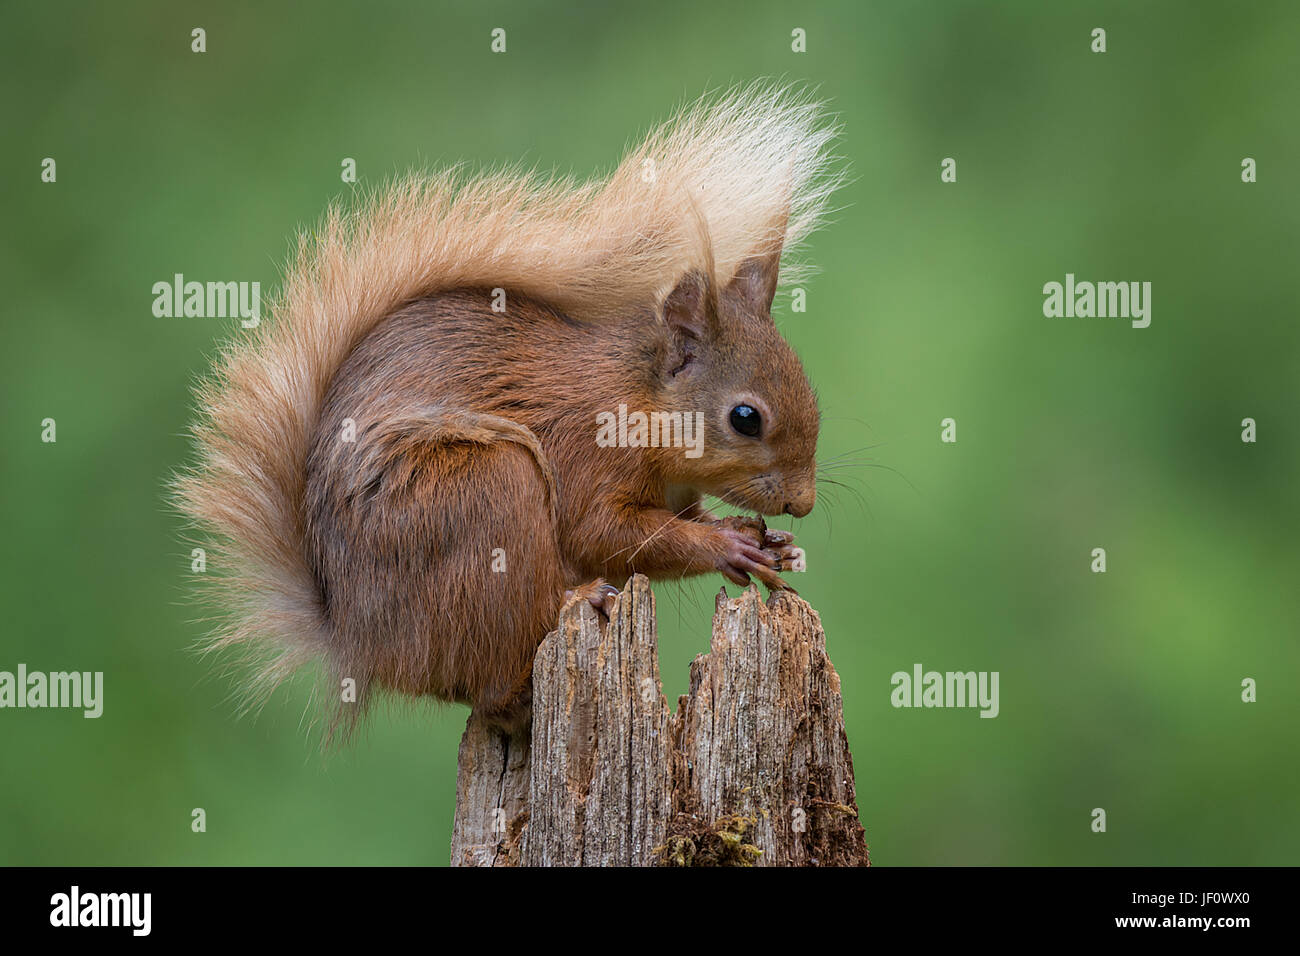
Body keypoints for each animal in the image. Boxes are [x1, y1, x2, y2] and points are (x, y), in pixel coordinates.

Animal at [174, 84, 841, 733]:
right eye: (745, 418)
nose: (802, 502)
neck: (638, 399)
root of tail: (362, 644)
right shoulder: (585, 451)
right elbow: (605, 532)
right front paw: (729, 544)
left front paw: (772, 545)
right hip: (484, 493)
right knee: (495, 685)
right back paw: (575, 606)